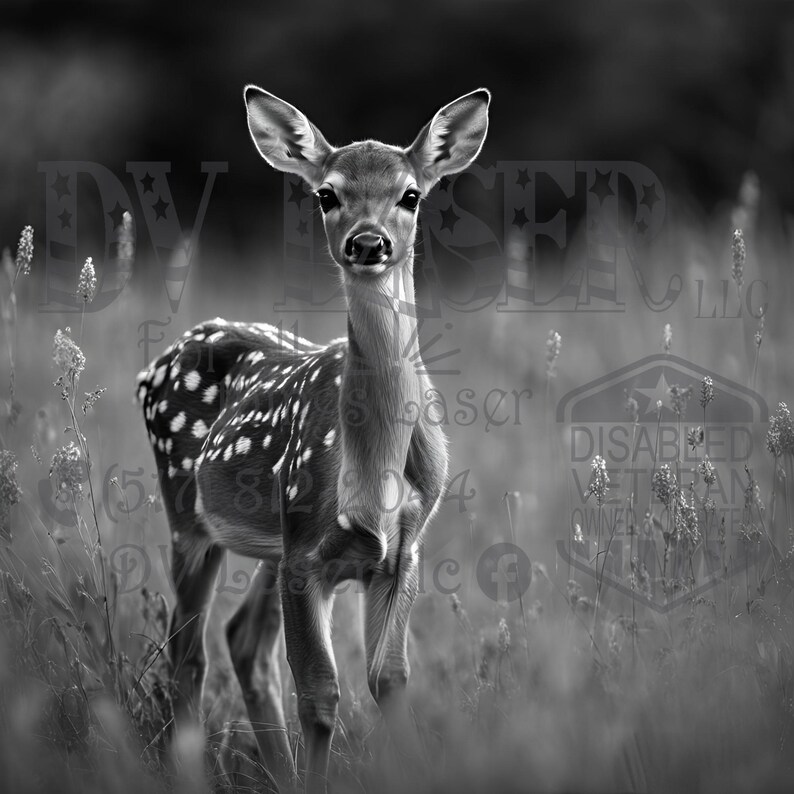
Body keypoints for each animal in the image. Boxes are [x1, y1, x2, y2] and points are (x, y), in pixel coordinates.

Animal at [135, 85, 490, 792]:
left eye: (411, 195)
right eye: (327, 194)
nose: (367, 241)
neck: (373, 474)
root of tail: (156, 363)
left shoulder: (401, 552)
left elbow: (389, 680)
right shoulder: (306, 554)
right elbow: (322, 694)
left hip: (268, 544)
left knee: (242, 640)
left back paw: (275, 769)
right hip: (190, 517)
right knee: (188, 652)